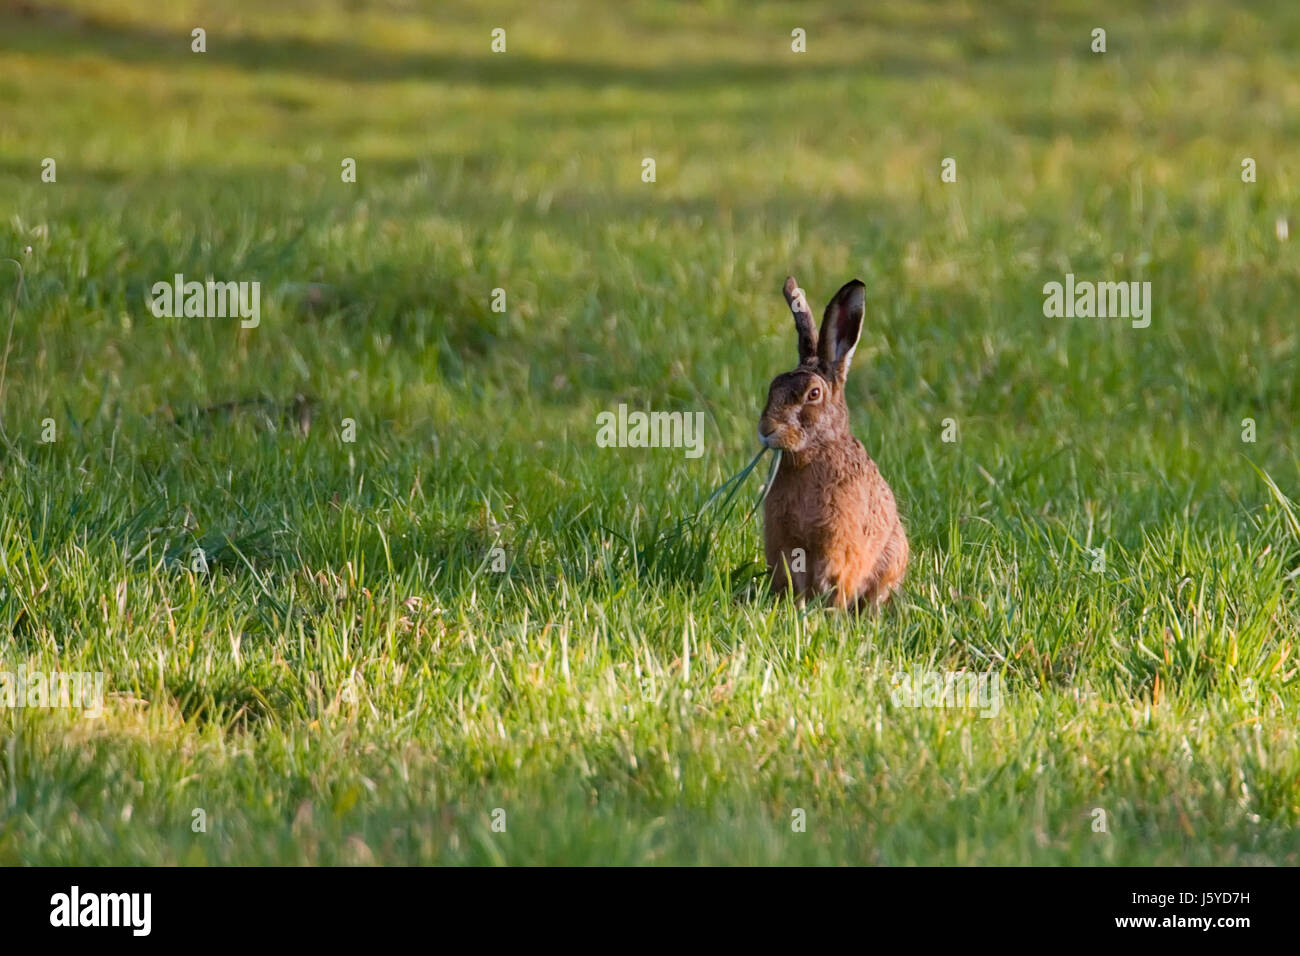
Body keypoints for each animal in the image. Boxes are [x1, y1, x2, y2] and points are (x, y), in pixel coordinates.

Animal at [757, 276, 908, 610]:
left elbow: (835, 575)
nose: (766, 430)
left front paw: (824, 609)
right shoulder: (785, 541)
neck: (814, 453)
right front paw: (800, 608)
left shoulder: (838, 542)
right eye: (773, 386)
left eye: (813, 394)